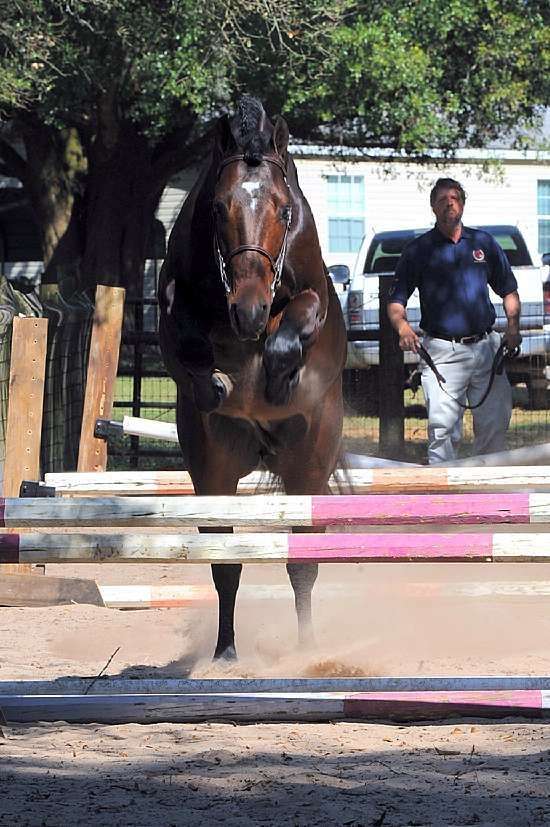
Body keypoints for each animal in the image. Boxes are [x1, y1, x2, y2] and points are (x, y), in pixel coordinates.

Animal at [158, 95, 347, 659]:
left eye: (285, 211)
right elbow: (184, 331)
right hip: (214, 468)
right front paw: (216, 384)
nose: (249, 311)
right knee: (226, 562)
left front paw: (278, 381)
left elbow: (296, 325)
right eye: (219, 209)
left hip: (308, 466)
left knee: (302, 563)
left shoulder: (313, 297)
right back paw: (225, 654)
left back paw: (307, 651)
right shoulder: (172, 299)